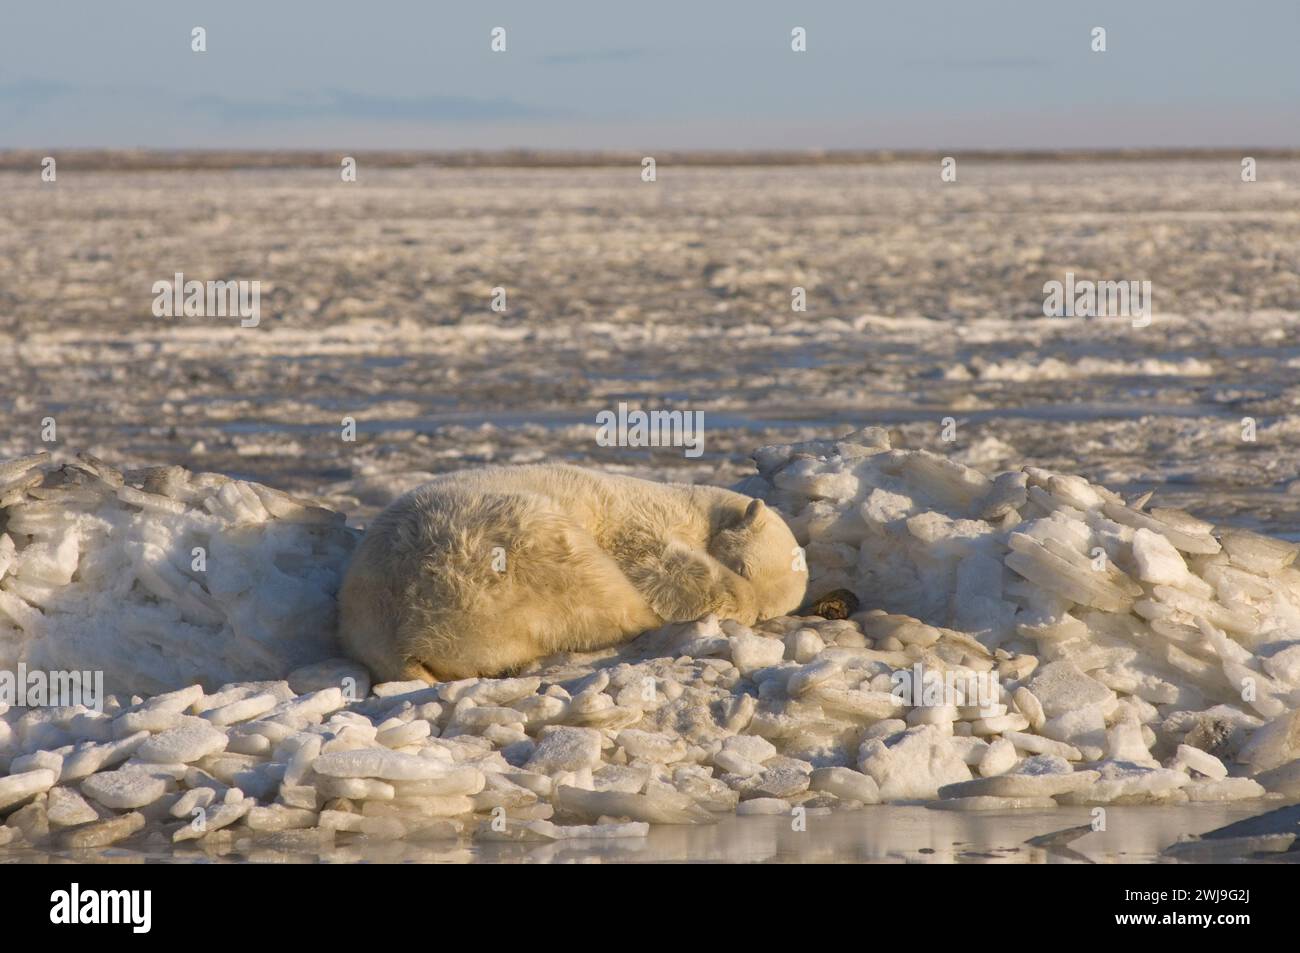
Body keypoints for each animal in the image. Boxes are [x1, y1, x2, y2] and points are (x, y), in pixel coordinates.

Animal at [337, 463, 807, 682]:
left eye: (769, 614)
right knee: (593, 586)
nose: (755, 607)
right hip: (505, 555)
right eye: (742, 564)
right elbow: (657, 563)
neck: (688, 506)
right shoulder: (635, 519)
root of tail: (396, 636)